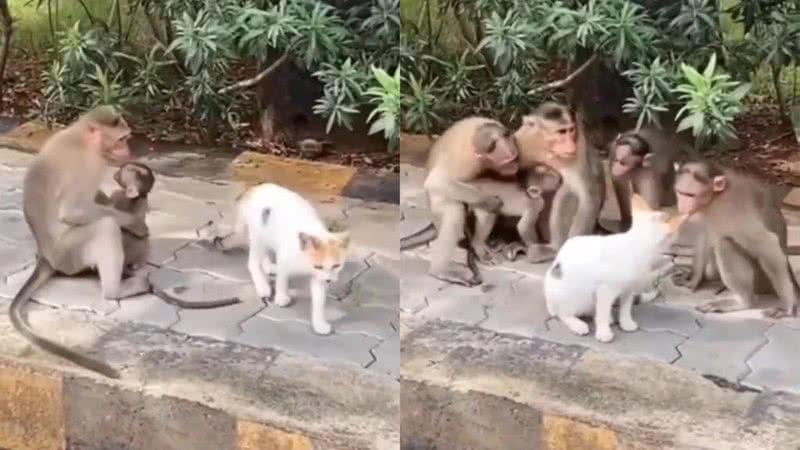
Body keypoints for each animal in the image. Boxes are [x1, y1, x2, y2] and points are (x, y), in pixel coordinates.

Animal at [400, 117, 519, 286]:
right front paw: (489, 200)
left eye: (514, 158)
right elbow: (437, 182)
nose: (514, 165)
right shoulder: (465, 161)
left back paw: (477, 245)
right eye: (508, 162)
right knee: (454, 211)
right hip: (437, 206)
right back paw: (439, 271)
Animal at [513, 102, 605, 262]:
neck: (546, 148)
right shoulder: (522, 140)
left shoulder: (579, 148)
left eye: (571, 130)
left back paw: (554, 249)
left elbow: (588, 198)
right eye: (561, 132)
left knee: (566, 193)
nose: (570, 145)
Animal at [672, 161, 799, 318]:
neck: (715, 196)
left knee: (724, 243)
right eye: (679, 192)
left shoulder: (733, 209)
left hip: (761, 280)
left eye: (690, 195)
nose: (681, 206)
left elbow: (767, 243)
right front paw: (695, 278)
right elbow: (705, 233)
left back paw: (743, 301)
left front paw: (788, 305)